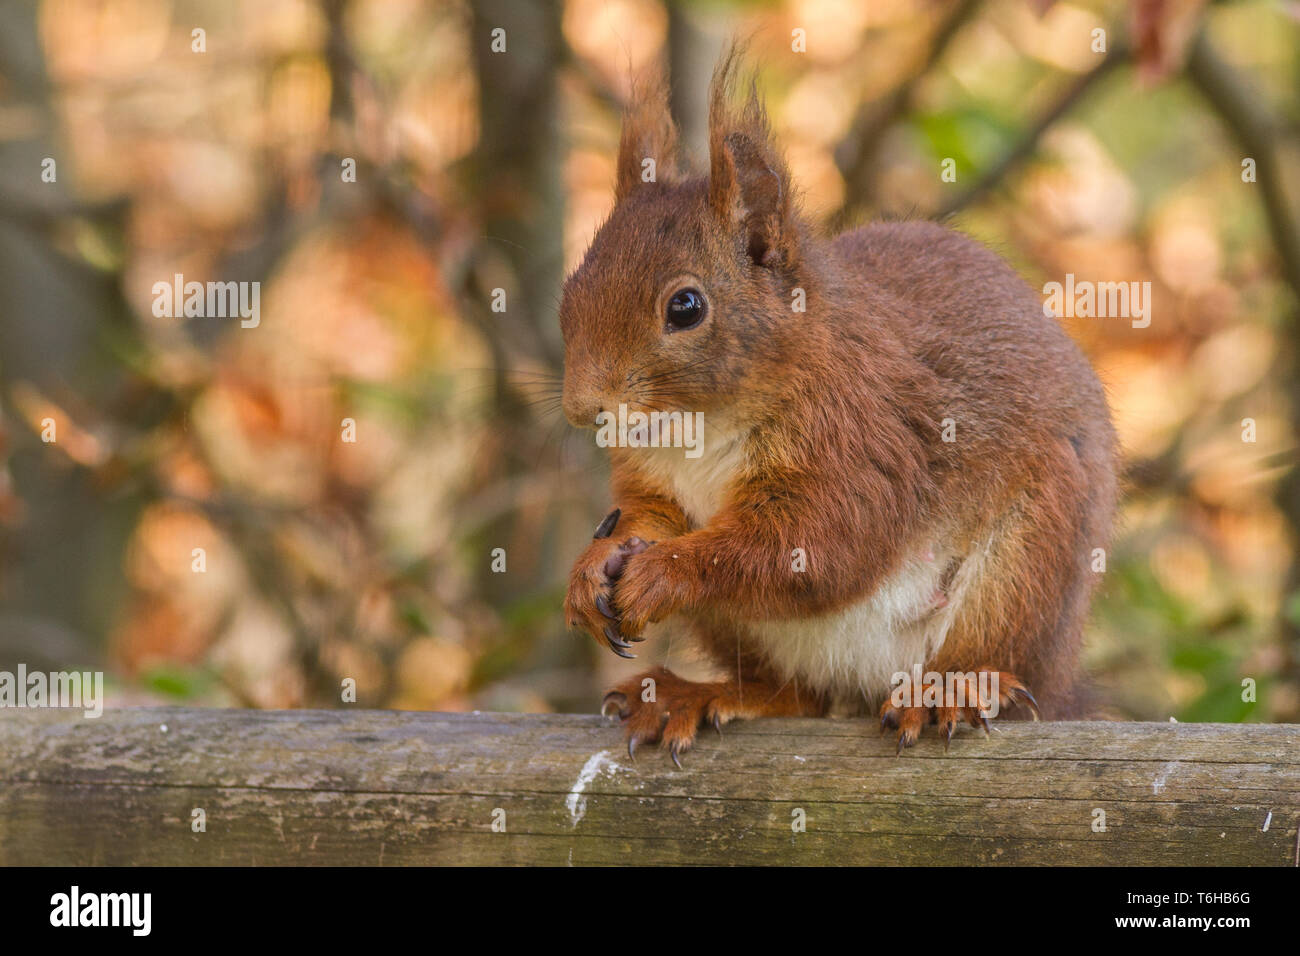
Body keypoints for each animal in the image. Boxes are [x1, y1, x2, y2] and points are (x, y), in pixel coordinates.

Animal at [559, 46, 1118, 763]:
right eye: (573, 287)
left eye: (685, 307)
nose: (584, 407)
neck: (702, 429)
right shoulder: (651, 476)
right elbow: (649, 515)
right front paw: (592, 568)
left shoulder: (864, 438)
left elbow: (820, 543)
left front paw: (663, 571)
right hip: (745, 633)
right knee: (798, 696)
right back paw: (702, 696)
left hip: (1029, 562)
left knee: (991, 661)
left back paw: (950, 692)